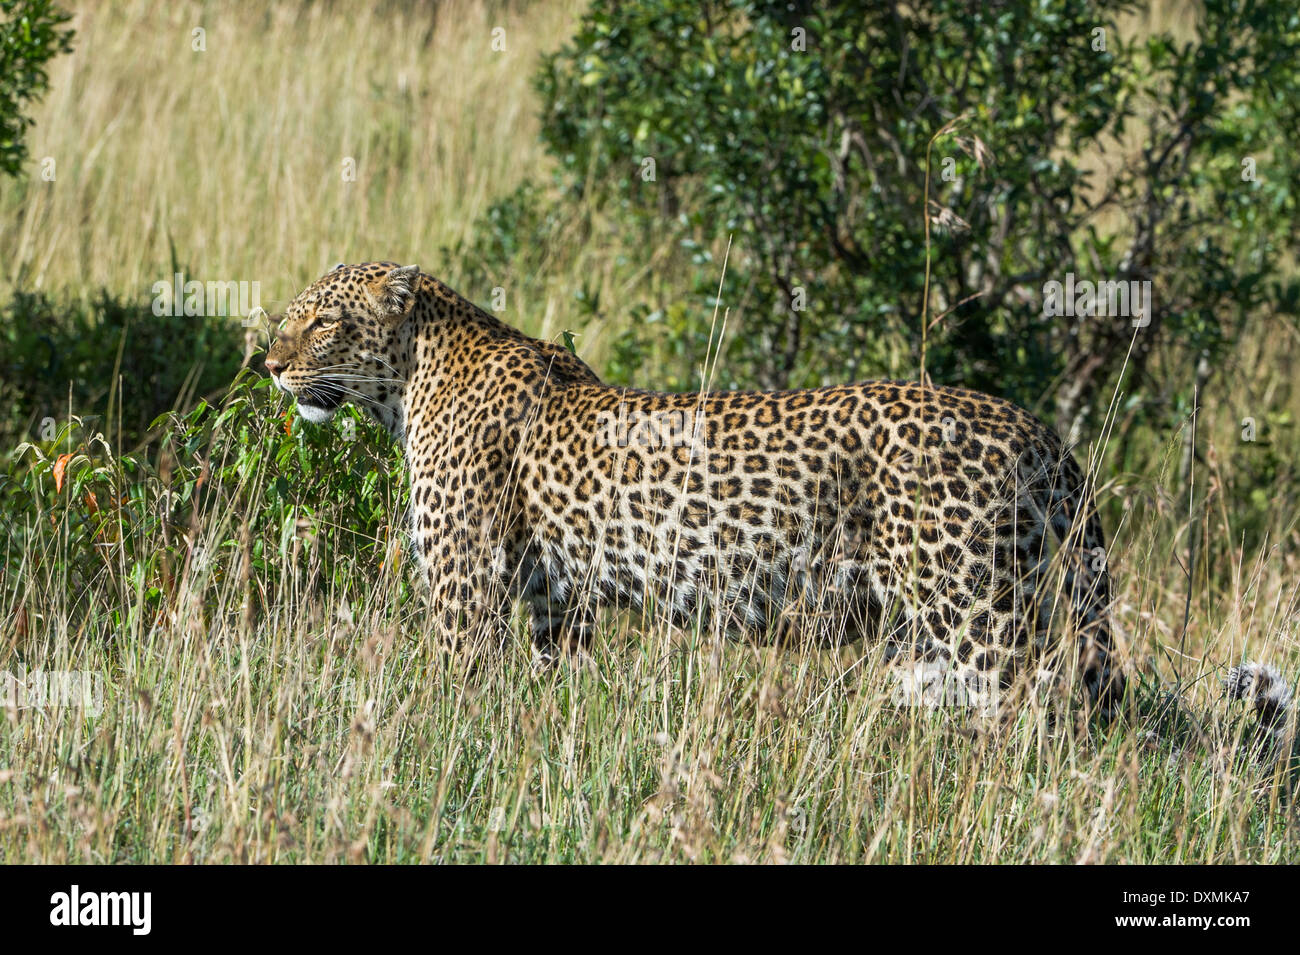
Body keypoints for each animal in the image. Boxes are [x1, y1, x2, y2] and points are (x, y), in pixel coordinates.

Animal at [263, 261, 1293, 732]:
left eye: (324, 321)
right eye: (294, 320)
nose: (268, 362)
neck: (411, 382)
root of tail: (1040, 434)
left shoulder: (465, 594)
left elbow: (451, 688)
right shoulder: (559, 604)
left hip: (978, 610)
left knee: (1031, 716)